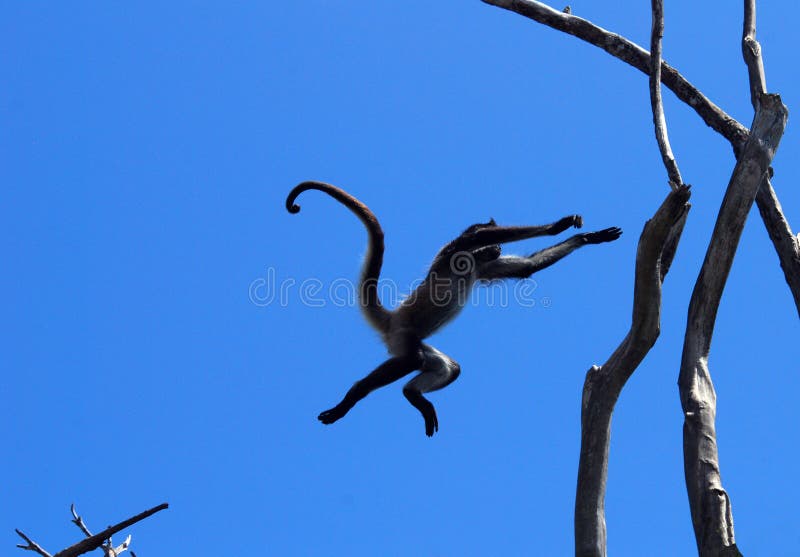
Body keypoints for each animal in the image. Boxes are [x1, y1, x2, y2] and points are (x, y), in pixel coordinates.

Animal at [286, 180, 622, 436]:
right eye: (496, 244)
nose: (497, 249)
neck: (471, 264)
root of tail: (392, 318)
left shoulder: (481, 268)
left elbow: (527, 268)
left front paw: (587, 237)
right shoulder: (455, 253)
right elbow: (476, 236)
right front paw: (558, 225)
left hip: (414, 344)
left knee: (446, 367)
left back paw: (413, 395)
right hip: (402, 338)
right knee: (411, 359)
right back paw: (354, 395)